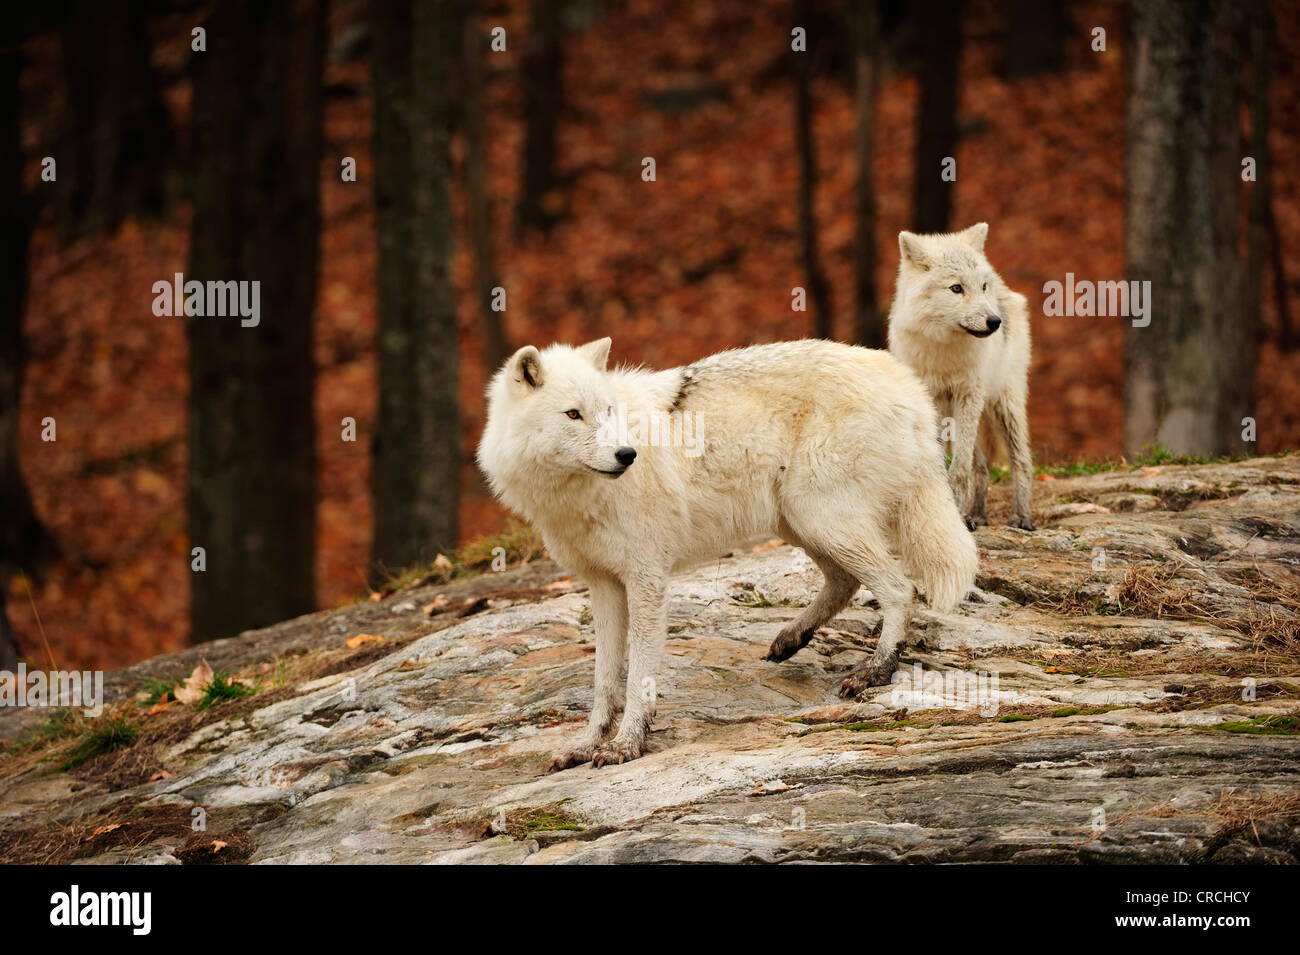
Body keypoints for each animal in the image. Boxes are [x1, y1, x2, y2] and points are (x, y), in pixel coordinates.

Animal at [477, 338, 977, 769]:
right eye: (573, 414)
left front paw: (626, 744)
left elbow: (637, 677)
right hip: (799, 522)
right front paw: (586, 745)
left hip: (820, 516)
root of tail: (906, 382)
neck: (575, 497)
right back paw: (792, 638)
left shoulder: (646, 579)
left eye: (608, 411)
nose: (626, 455)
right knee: (845, 582)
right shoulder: (603, 586)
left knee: (899, 589)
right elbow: (603, 682)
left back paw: (874, 670)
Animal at [887, 222, 1035, 530]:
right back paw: (977, 514)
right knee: (982, 466)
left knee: (1021, 461)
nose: (994, 322)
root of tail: (1004, 286)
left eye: (982, 287)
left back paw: (1021, 517)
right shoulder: (934, 401)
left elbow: (959, 468)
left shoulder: (968, 395)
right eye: (956, 288)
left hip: (1002, 405)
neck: (943, 348)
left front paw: (957, 515)